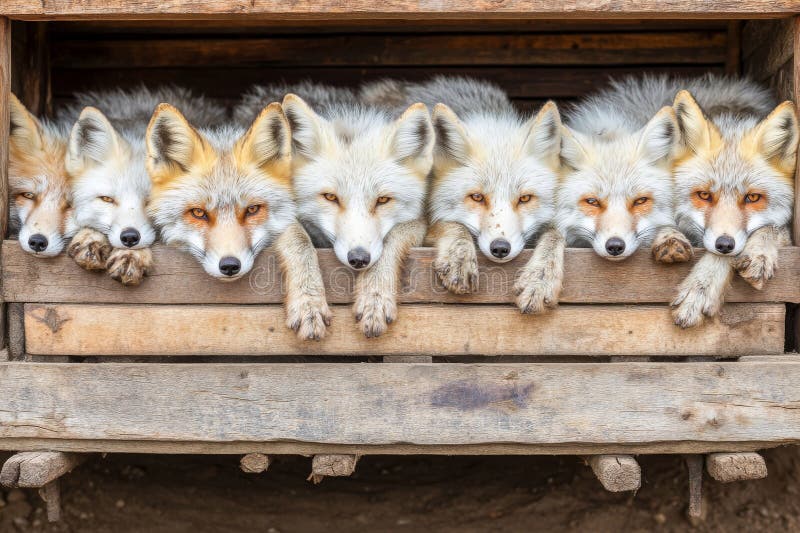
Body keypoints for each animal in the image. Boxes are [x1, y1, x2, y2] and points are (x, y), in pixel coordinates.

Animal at [235, 83, 435, 337]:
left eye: (383, 200)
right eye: (330, 197)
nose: (358, 258)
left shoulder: (420, 219)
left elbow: (393, 239)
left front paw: (375, 296)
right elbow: (299, 241)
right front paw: (308, 302)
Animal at [361, 76, 565, 314]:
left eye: (525, 199)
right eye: (476, 197)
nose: (500, 248)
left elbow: (555, 235)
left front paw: (541, 278)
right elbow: (451, 224)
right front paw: (460, 256)